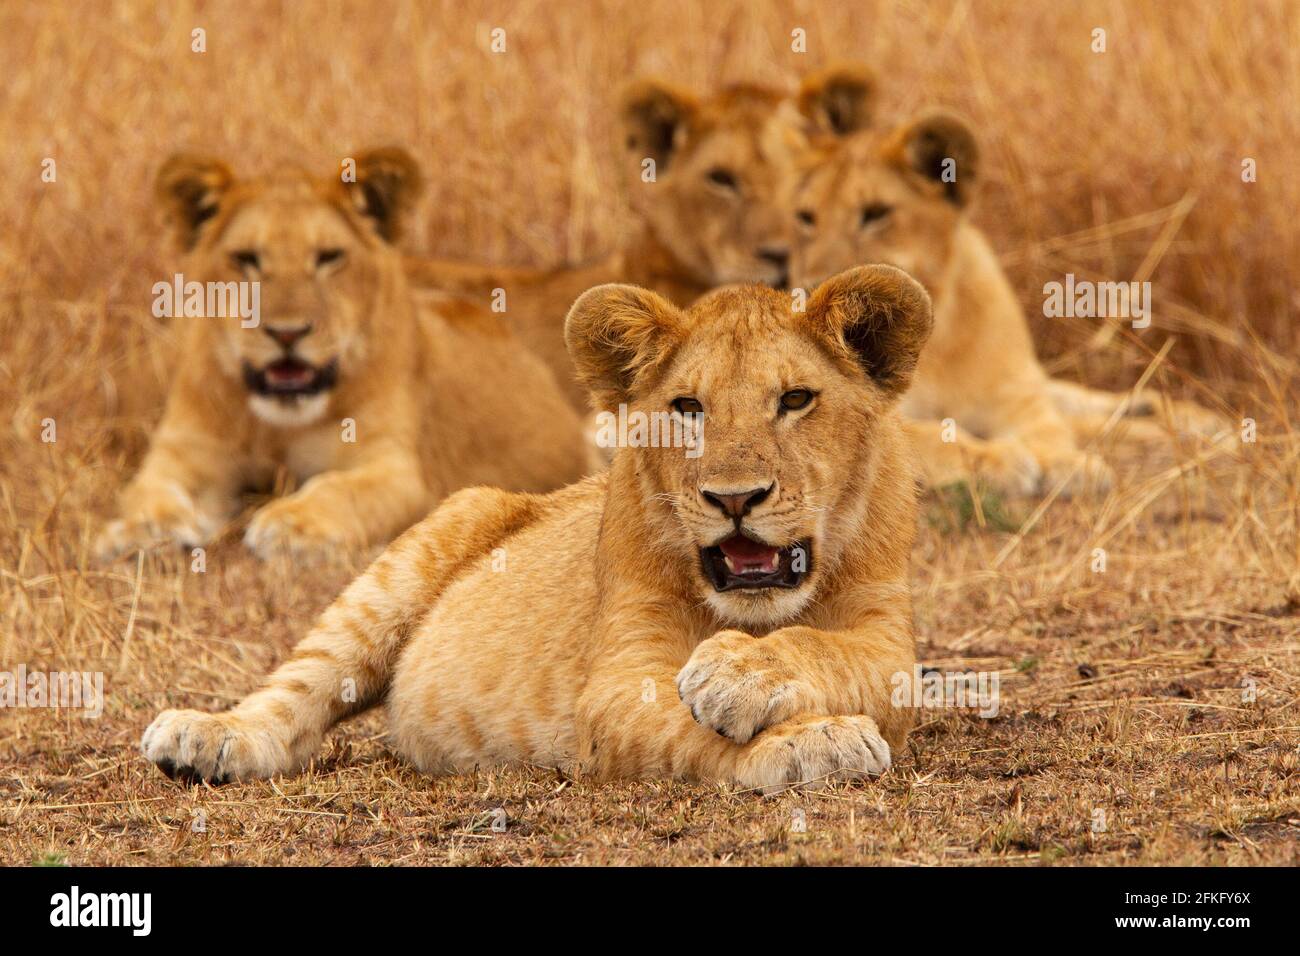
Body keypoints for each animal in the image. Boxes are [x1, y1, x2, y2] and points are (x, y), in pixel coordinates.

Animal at [97, 148, 590, 562]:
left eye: (329, 257)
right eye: (246, 258)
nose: (287, 333)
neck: (279, 428)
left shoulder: (397, 469)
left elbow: (338, 488)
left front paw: (289, 523)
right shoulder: (185, 451)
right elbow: (147, 489)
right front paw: (138, 528)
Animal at [140, 264, 933, 793]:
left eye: (796, 400)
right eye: (687, 408)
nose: (734, 498)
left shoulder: (886, 637)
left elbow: (827, 649)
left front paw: (744, 672)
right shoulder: (615, 681)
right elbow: (688, 730)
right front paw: (809, 739)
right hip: (433, 537)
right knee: (299, 692)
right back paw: (207, 737)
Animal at [790, 113, 1226, 497]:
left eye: (876, 213)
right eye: (807, 217)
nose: (813, 287)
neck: (941, 334)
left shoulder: (1014, 393)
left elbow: (1046, 426)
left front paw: (1067, 463)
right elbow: (931, 436)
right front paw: (1002, 462)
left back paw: (1179, 415)